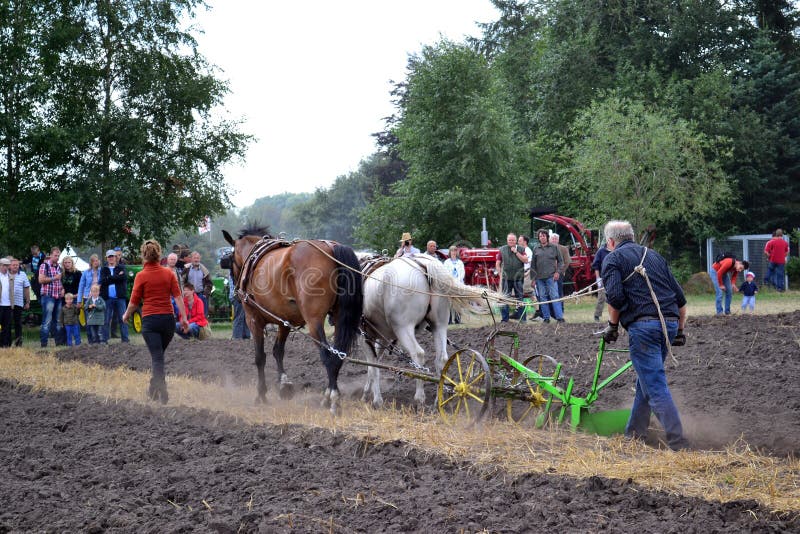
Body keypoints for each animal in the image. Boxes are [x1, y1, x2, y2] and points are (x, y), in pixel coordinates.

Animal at [222, 226, 363, 415]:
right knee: (338, 355)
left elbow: (260, 357)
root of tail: (331, 248)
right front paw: (284, 385)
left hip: (314, 321)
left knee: (327, 355)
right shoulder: (284, 321)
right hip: (340, 317)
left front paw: (261, 394)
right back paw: (328, 395)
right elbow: (278, 351)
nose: (235, 294)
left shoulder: (253, 319)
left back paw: (333, 399)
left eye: (230, 259)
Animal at [359, 254, 497, 409]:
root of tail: (424, 264)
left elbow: (372, 365)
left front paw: (375, 400)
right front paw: (367, 394)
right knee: (442, 359)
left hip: (403, 327)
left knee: (418, 354)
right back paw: (438, 401)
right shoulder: (382, 337)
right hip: (439, 325)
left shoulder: (364, 335)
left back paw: (419, 398)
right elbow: (376, 362)